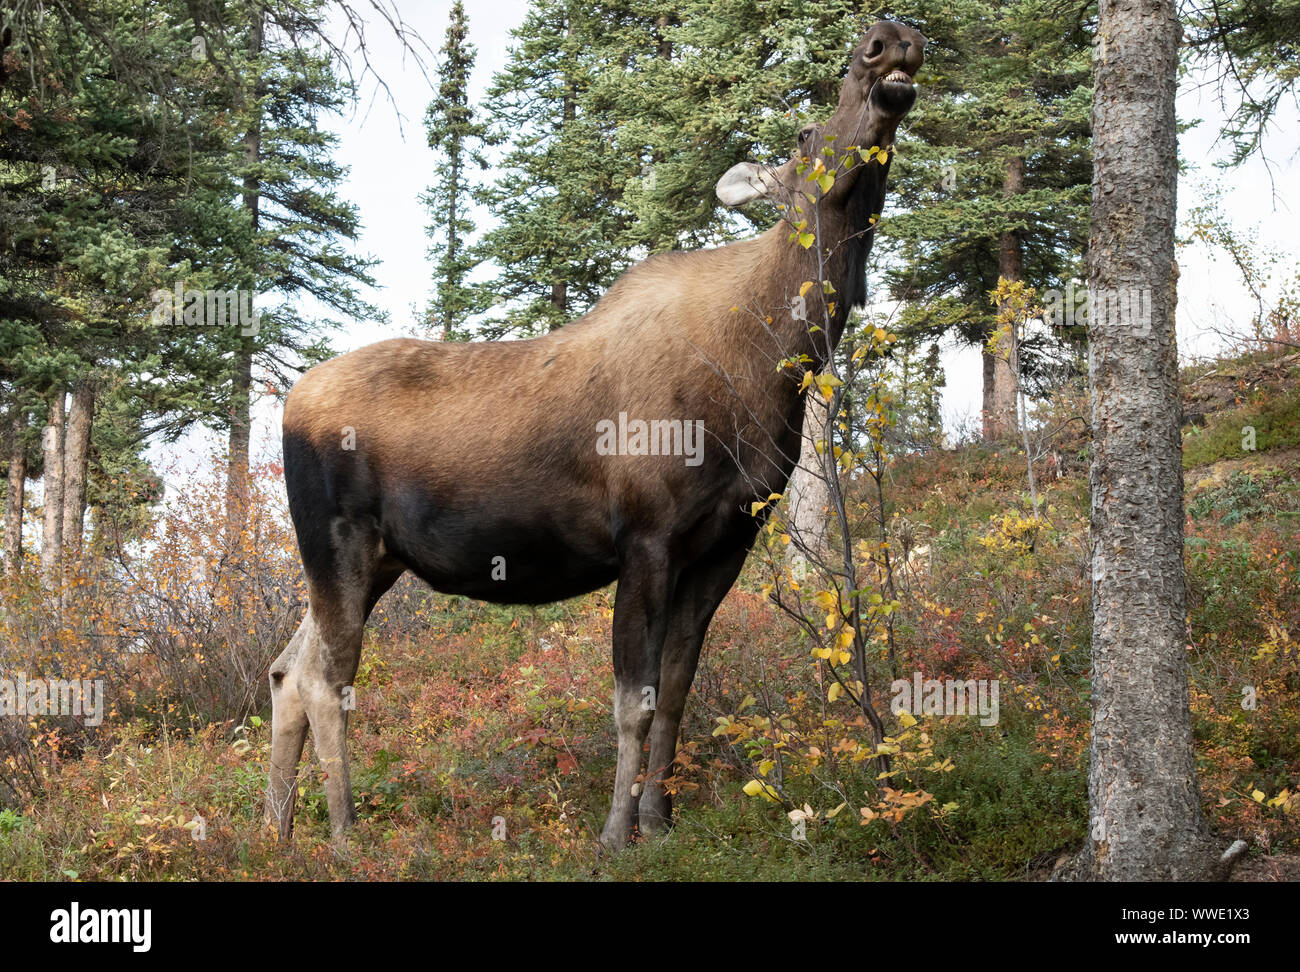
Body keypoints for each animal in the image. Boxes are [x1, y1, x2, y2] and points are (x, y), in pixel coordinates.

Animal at [265, 21, 923, 850]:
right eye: (804, 134)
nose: (887, 41)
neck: (775, 356)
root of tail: (288, 403)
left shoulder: (726, 541)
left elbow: (676, 691)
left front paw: (661, 819)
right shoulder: (644, 536)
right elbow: (632, 701)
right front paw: (616, 833)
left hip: (373, 559)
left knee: (286, 670)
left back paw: (274, 830)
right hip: (338, 545)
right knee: (325, 681)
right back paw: (345, 835)